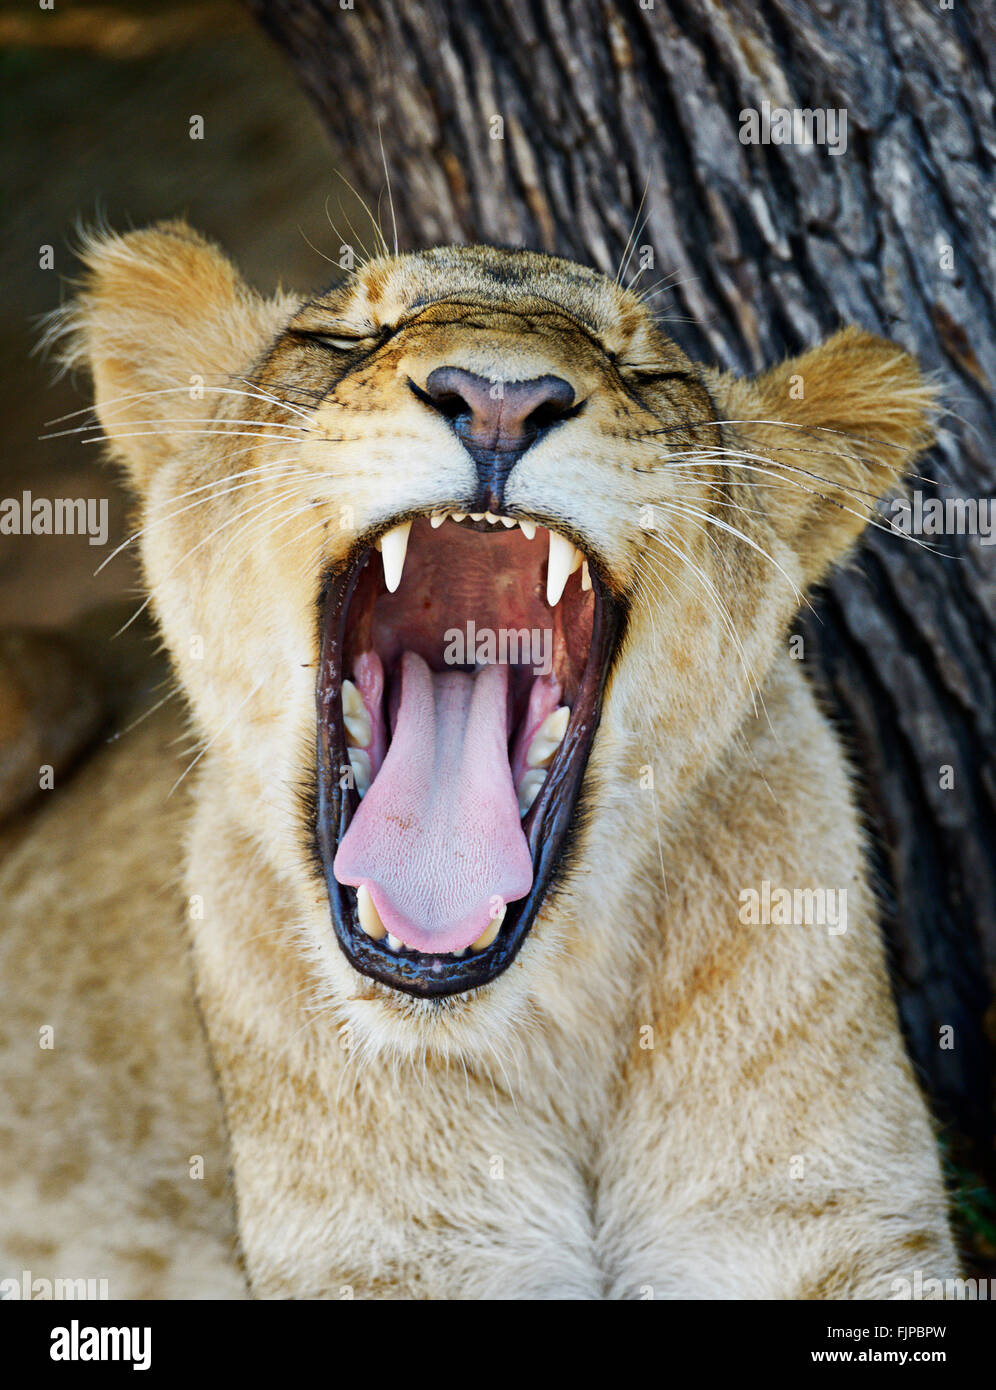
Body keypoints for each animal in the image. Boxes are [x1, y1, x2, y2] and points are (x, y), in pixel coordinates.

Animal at [0, 222, 958, 1299]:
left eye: (644, 366)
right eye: (347, 335)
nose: (500, 398)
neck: (551, 1025)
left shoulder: (822, 1222)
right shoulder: (403, 1256)